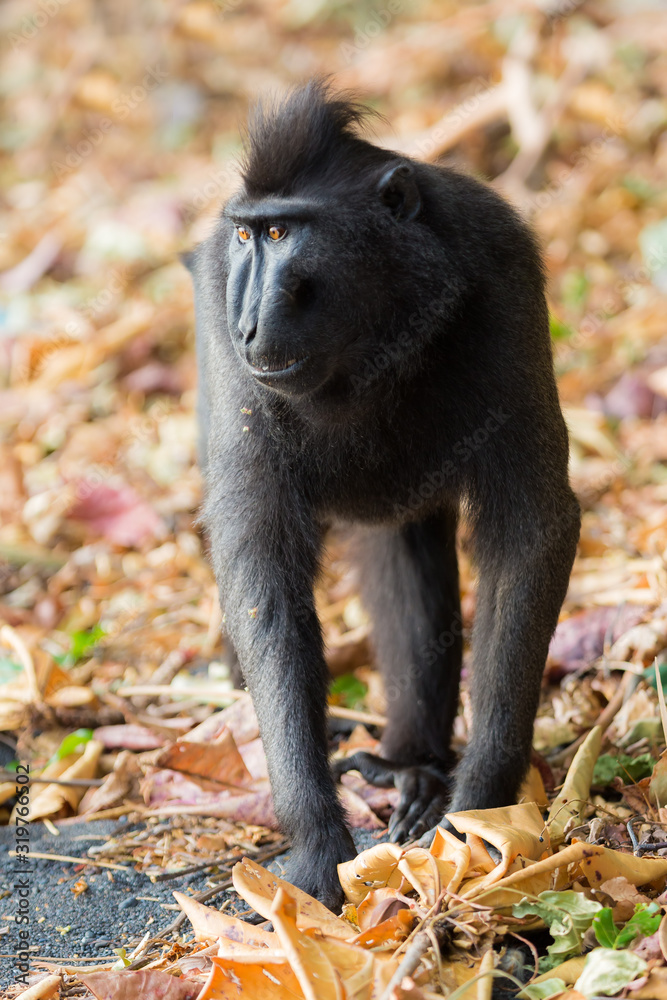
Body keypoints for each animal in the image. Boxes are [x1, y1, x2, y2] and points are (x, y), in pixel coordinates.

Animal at [184, 80, 580, 912]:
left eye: (282, 232)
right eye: (248, 238)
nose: (248, 322)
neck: (374, 334)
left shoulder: (504, 278)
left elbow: (527, 534)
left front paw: (480, 809)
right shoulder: (231, 352)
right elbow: (263, 574)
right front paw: (314, 844)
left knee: (408, 548)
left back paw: (410, 766)